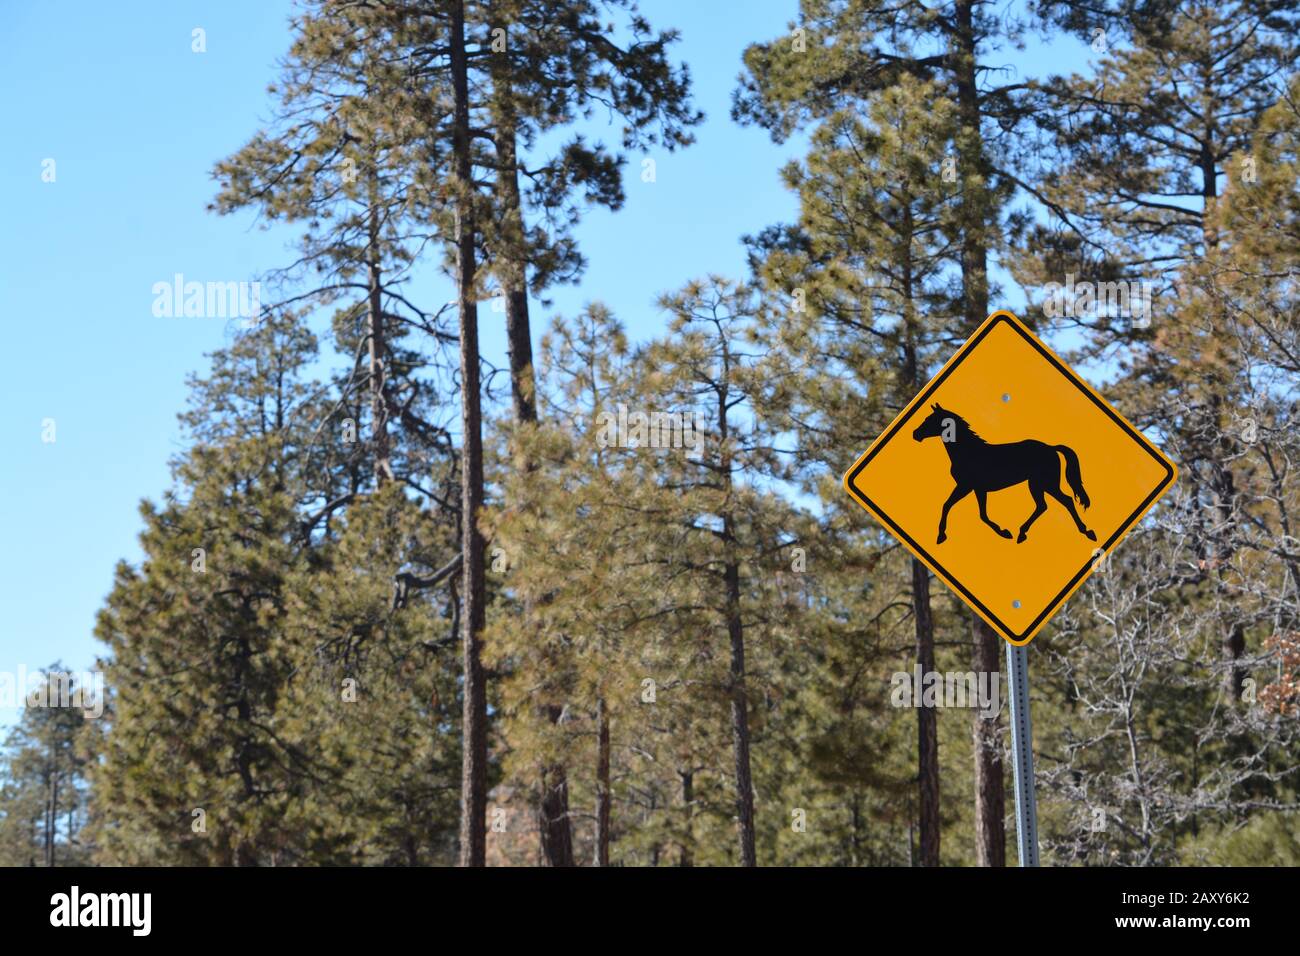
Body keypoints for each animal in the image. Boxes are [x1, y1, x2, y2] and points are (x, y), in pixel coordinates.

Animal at [911, 403, 1097, 545]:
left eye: (929, 420)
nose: (915, 434)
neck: (968, 451)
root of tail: (1051, 448)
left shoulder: (966, 486)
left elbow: (948, 505)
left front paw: (941, 536)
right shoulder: (977, 489)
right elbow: (981, 515)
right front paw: (1005, 532)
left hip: (1045, 483)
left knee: (1065, 501)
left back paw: (1086, 531)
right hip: (1038, 484)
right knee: (1044, 505)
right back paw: (1022, 533)